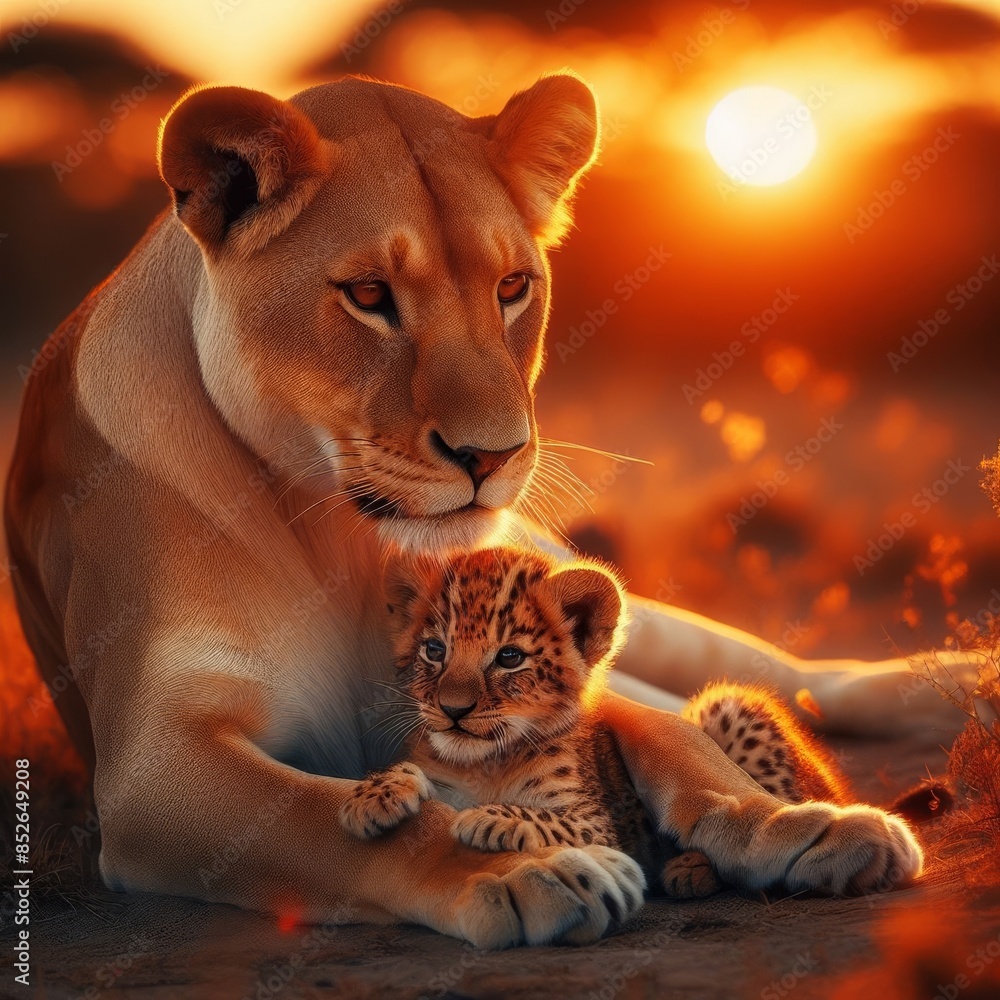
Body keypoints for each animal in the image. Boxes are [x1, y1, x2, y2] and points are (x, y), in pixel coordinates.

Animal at [3, 74, 967, 947]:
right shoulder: (155, 764)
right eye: (368, 295)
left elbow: (676, 743)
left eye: (512, 287)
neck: (342, 543)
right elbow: (329, 819)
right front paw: (530, 869)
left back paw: (958, 684)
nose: (492, 456)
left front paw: (798, 825)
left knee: (767, 671)